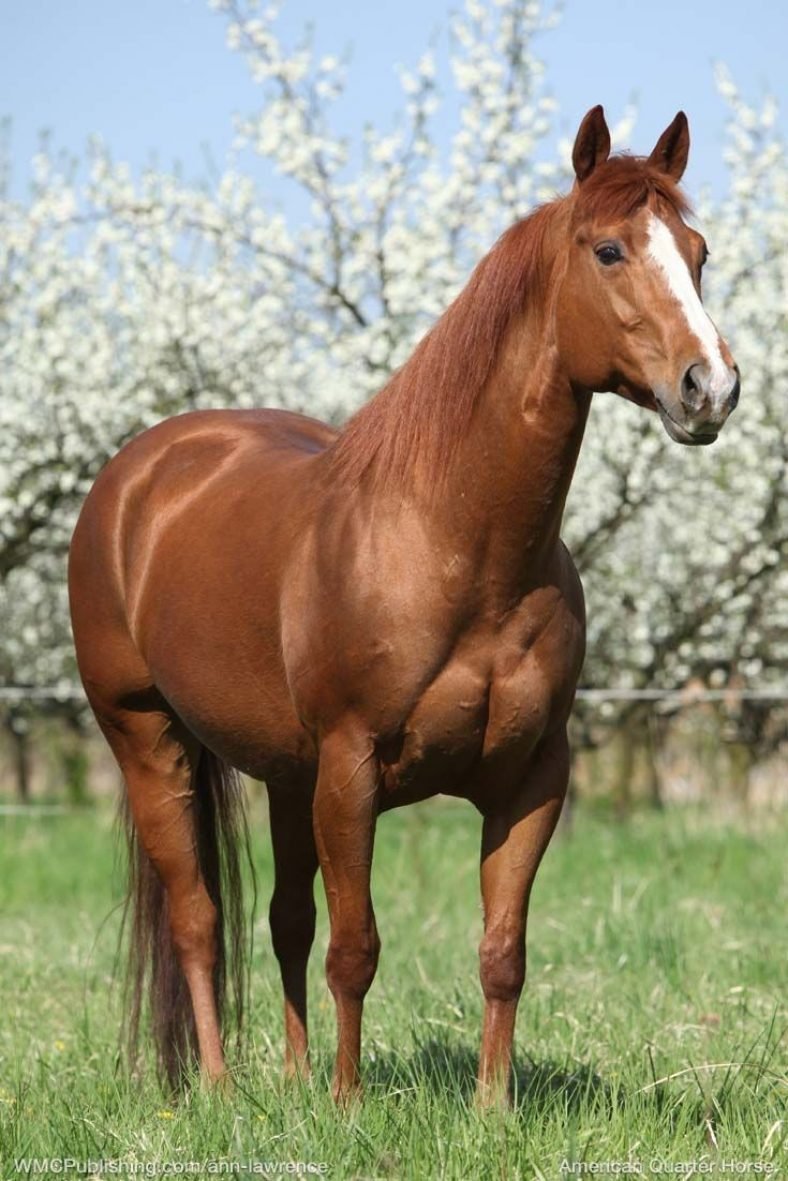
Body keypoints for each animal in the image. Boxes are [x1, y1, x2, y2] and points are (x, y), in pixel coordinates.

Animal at [68, 106, 740, 1106]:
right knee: (198, 918)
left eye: (697, 254)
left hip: (286, 774)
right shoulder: (353, 772)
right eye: (610, 249)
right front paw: (348, 1110)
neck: (456, 546)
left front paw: (491, 1109)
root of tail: (139, 471)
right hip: (148, 741)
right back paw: (222, 1090)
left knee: (283, 920)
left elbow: (502, 953)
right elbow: (357, 948)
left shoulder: (533, 779)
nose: (712, 387)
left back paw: (292, 1081)